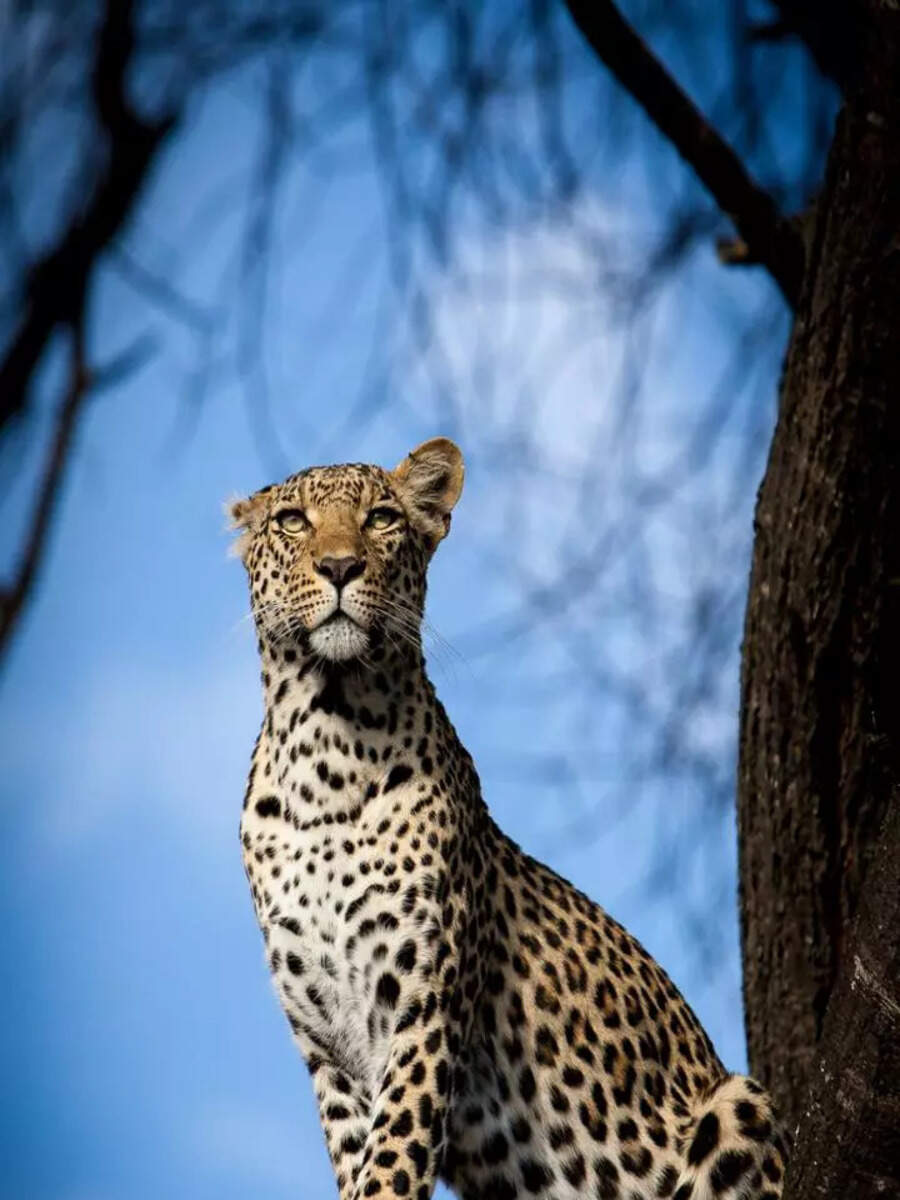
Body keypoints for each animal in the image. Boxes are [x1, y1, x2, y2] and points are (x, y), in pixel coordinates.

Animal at [230, 437, 788, 1200]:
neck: (327, 755)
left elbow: (392, 1164)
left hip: (737, 1104)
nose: (340, 566)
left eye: (380, 518)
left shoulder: (423, 1011)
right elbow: (360, 1166)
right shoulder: (331, 1052)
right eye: (292, 521)